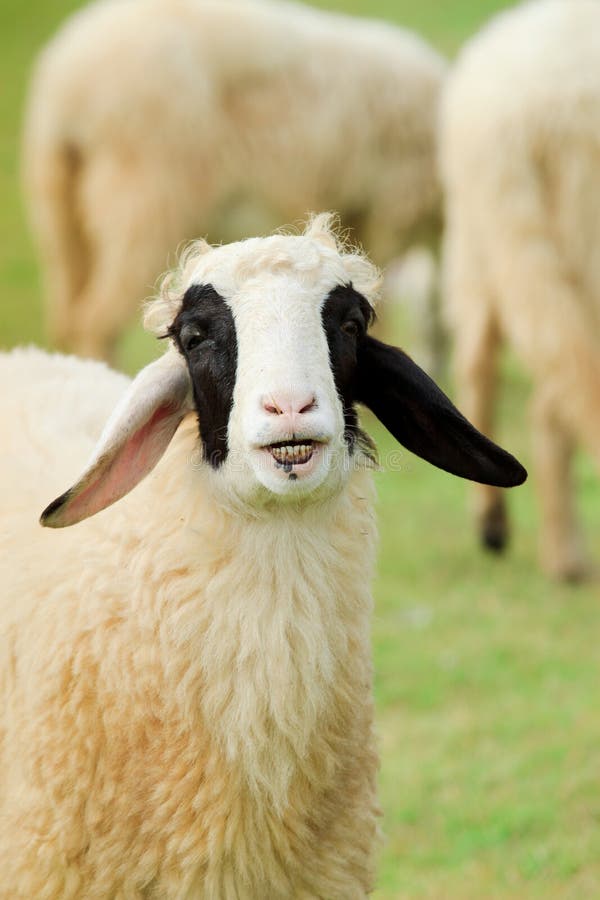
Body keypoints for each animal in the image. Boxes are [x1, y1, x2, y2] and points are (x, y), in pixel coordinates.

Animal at [23, 0, 446, 364]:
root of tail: (69, 89)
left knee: (67, 315)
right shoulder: (384, 212)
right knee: (95, 321)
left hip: (57, 201)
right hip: (146, 195)